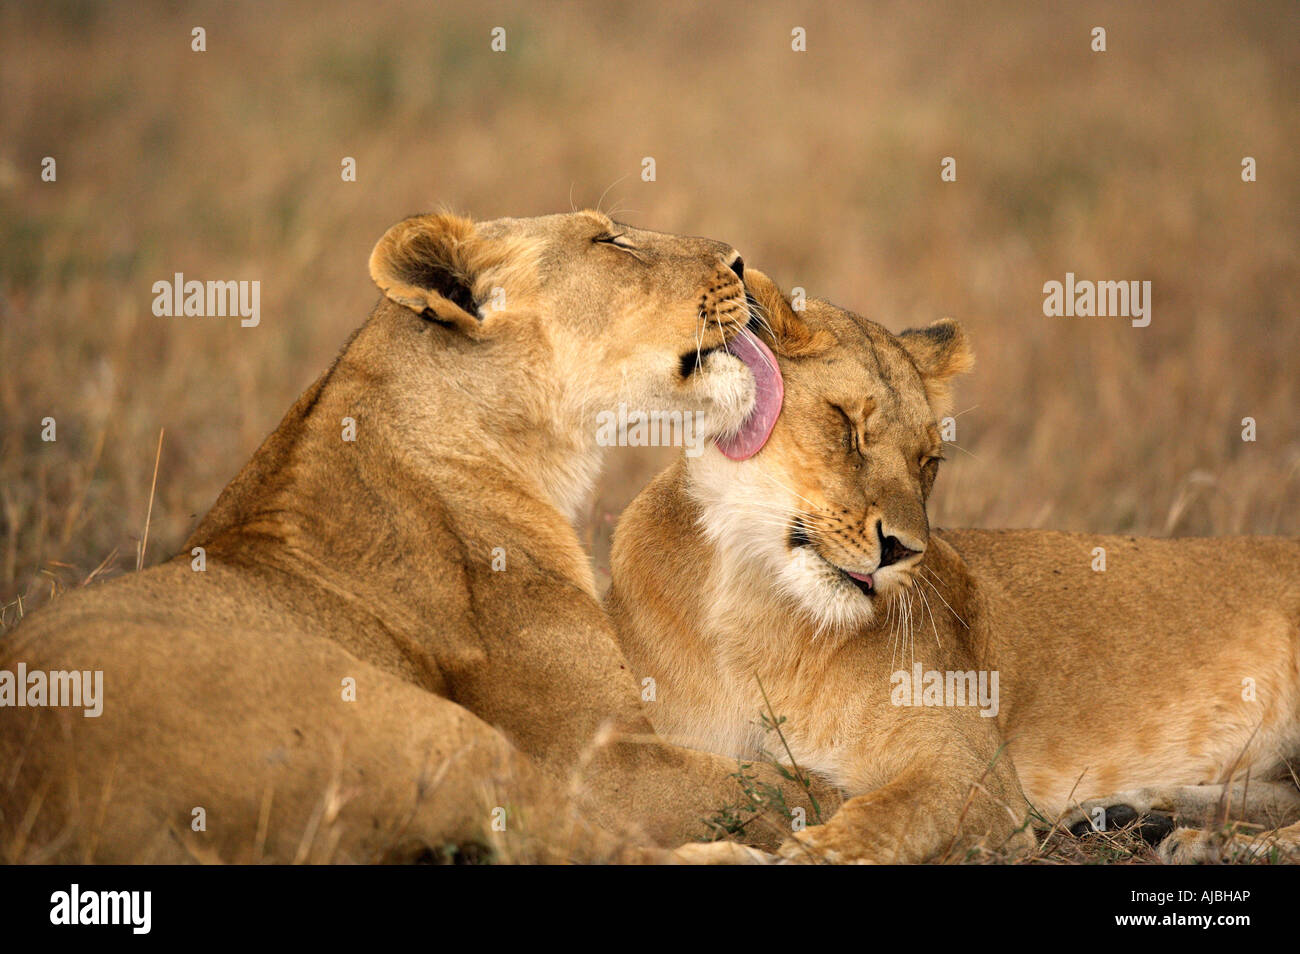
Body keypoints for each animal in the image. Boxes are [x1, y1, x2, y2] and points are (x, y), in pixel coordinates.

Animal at [0, 210, 822, 864]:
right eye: (608, 240)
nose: (742, 262)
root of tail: (50, 796)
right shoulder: (597, 754)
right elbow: (773, 784)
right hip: (446, 735)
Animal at [606, 269, 1300, 863]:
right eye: (846, 426)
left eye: (927, 462)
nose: (903, 550)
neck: (751, 602)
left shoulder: (973, 774)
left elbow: (879, 820)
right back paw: (1141, 815)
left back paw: (1208, 841)